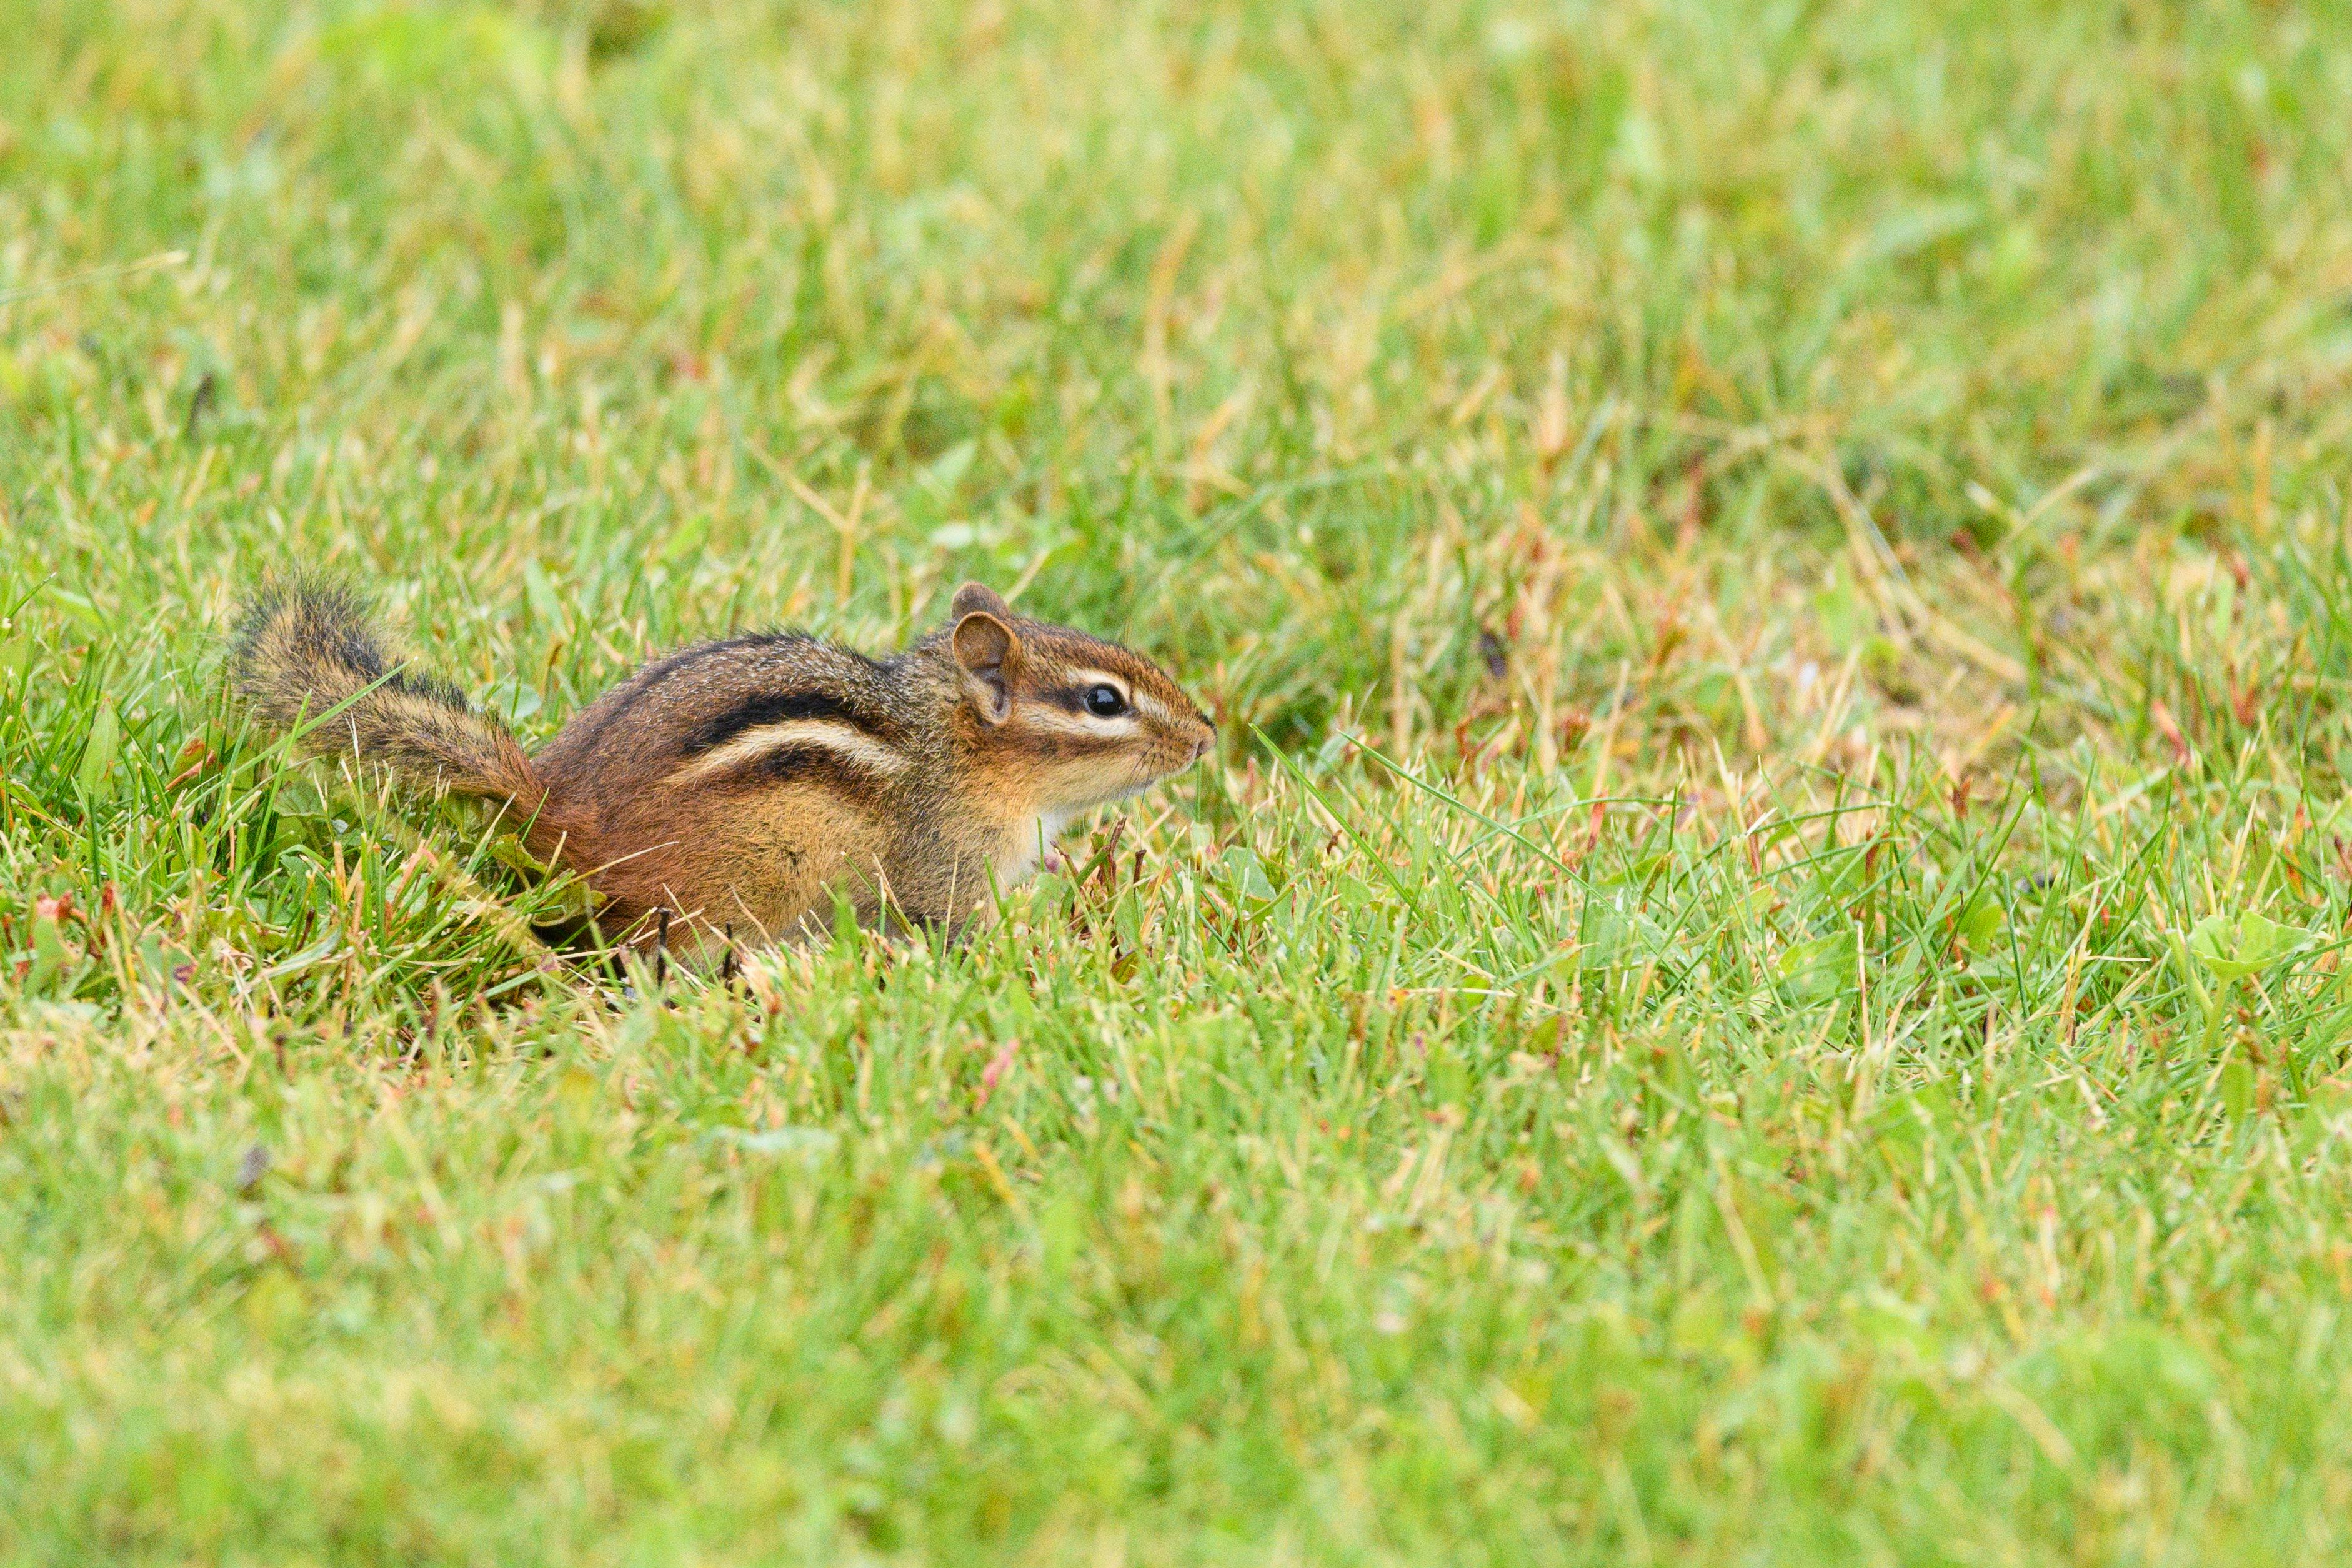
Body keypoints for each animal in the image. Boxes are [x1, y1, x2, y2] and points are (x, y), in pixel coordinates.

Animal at [229, 578, 1216, 960]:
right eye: (1104, 701)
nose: (1207, 737)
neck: (957, 747)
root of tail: (551, 808)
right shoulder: (947, 866)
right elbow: (960, 927)